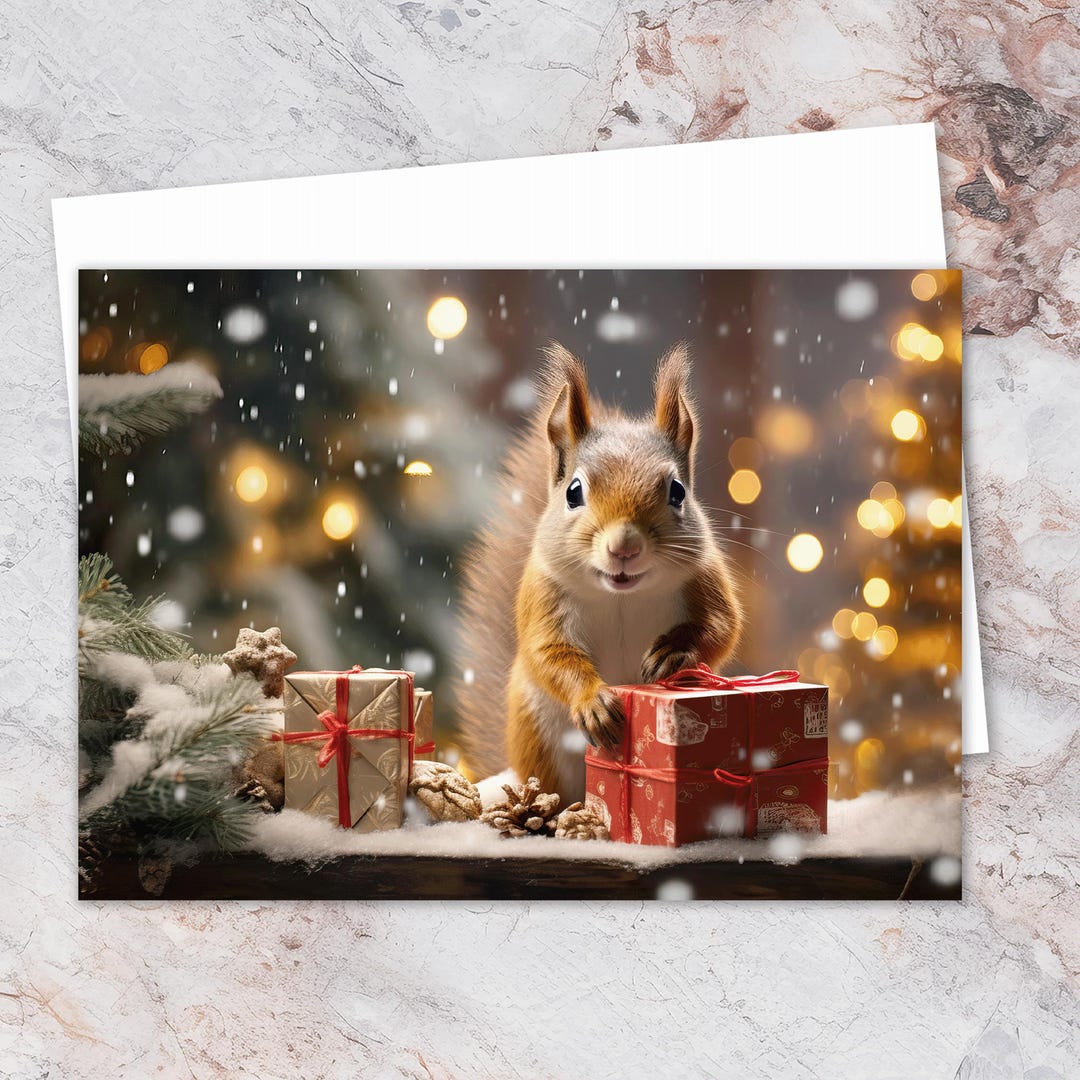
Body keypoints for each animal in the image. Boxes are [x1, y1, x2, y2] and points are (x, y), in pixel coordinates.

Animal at [456, 342, 742, 801]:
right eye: (573, 492)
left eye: (678, 491)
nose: (624, 547)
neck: (621, 596)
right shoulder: (545, 596)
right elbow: (547, 651)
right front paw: (592, 700)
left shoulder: (704, 579)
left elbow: (721, 628)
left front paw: (674, 651)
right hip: (540, 732)